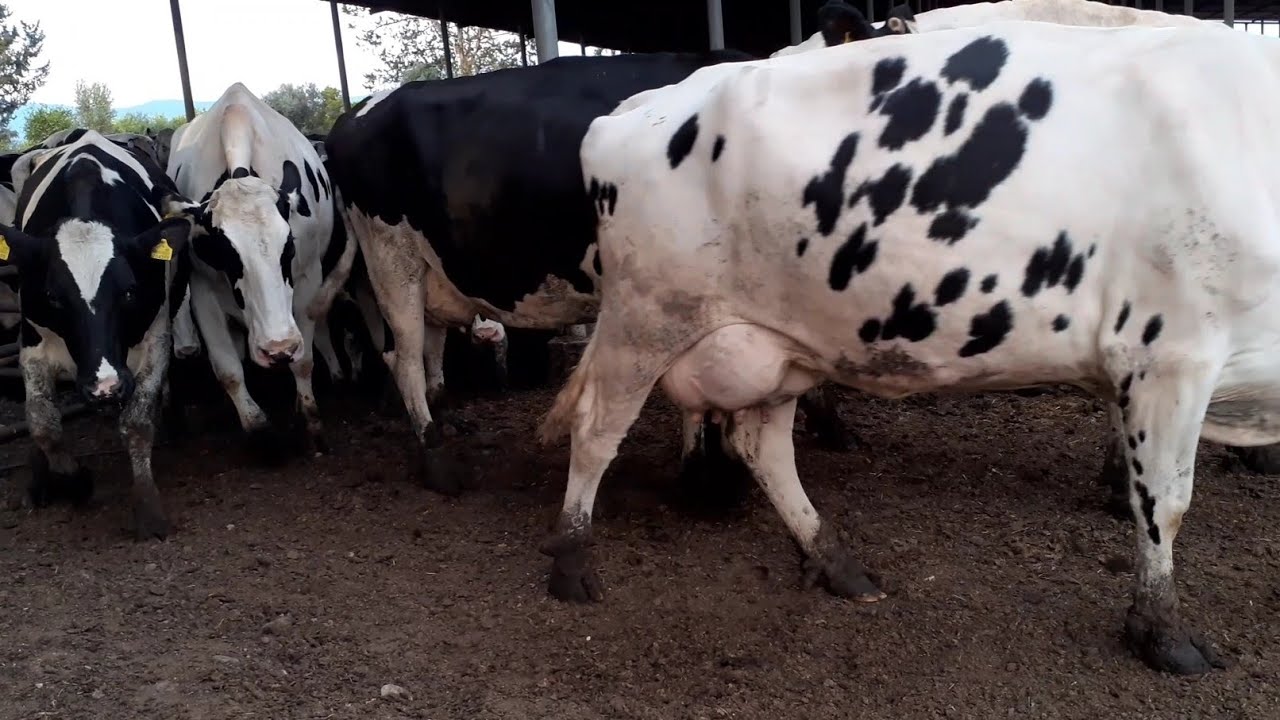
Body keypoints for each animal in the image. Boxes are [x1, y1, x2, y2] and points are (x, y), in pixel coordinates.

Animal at [0, 129, 195, 538]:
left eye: (130, 292)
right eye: (53, 297)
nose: (105, 388)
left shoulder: (155, 340)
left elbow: (137, 422)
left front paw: (148, 508)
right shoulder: (32, 342)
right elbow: (43, 422)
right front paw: (74, 481)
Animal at [166, 82, 354, 456]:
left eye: (289, 246)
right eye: (227, 254)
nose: (277, 349)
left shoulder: (308, 278)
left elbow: (304, 359)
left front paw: (310, 421)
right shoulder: (203, 288)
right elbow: (227, 368)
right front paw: (258, 431)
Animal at [324, 5, 885, 496]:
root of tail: (355, 113)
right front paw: (705, 477)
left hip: (428, 266)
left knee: (430, 347)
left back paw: (444, 423)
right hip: (389, 257)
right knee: (404, 358)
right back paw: (435, 458)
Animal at [538, 20, 1280, 675]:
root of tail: (642, 104)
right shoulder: (1167, 357)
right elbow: (1165, 503)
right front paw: (1161, 631)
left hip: (773, 343)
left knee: (761, 447)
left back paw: (832, 559)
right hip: (648, 315)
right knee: (596, 428)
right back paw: (572, 558)